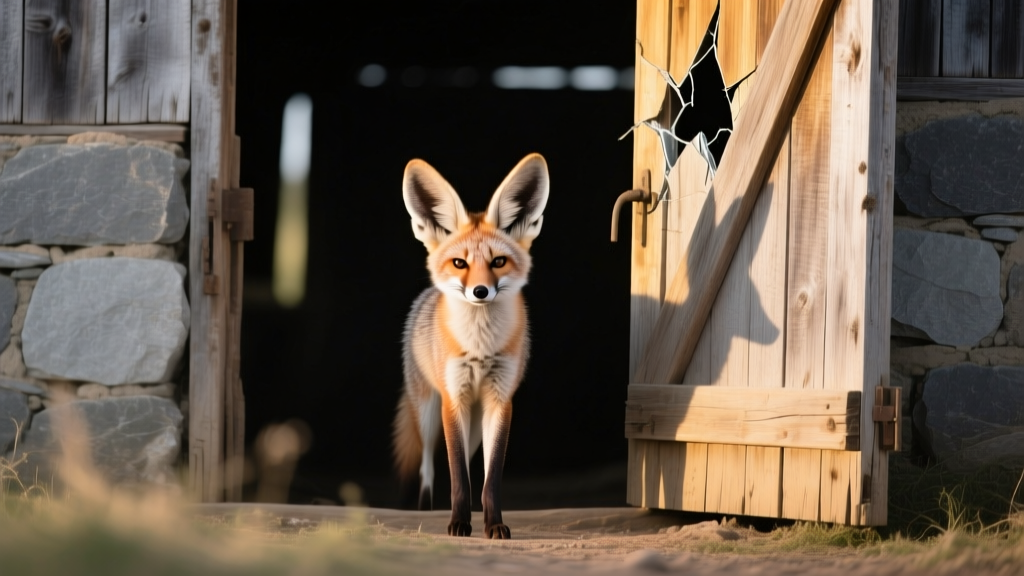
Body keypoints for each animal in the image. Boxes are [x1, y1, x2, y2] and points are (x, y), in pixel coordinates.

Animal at [392, 153, 549, 540]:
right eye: (460, 263)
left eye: (498, 262)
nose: (480, 291)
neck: (480, 348)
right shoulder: (454, 398)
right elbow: (457, 476)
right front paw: (459, 523)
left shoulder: (500, 400)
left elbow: (490, 477)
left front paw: (494, 524)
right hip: (428, 411)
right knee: (429, 465)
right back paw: (426, 507)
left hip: (477, 422)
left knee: (470, 460)